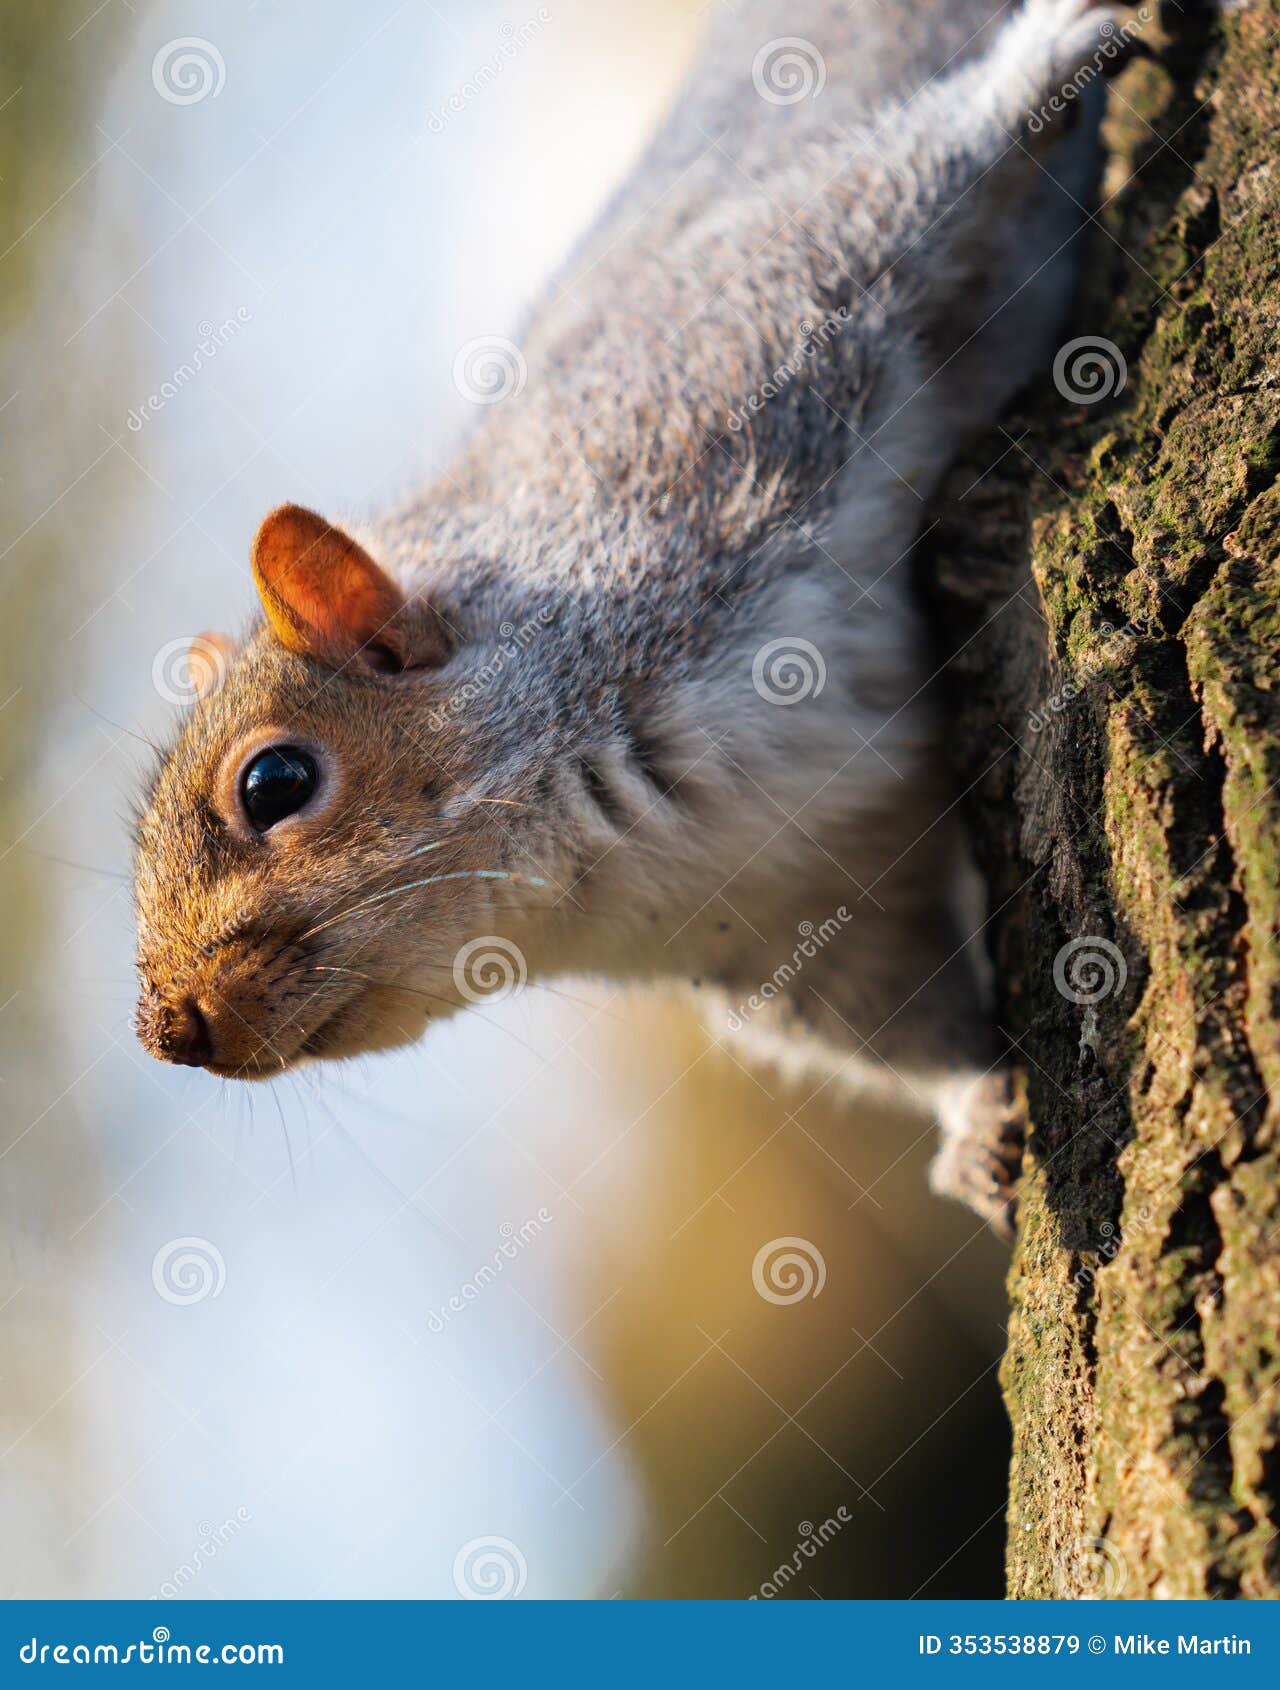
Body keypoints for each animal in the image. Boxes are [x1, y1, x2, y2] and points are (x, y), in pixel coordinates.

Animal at [133, 0, 1128, 1236]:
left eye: (274, 782)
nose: (169, 1032)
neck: (606, 847)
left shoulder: (733, 375)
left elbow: (898, 185)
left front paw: (1049, 61)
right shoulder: (799, 921)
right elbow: (903, 1025)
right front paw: (978, 1120)